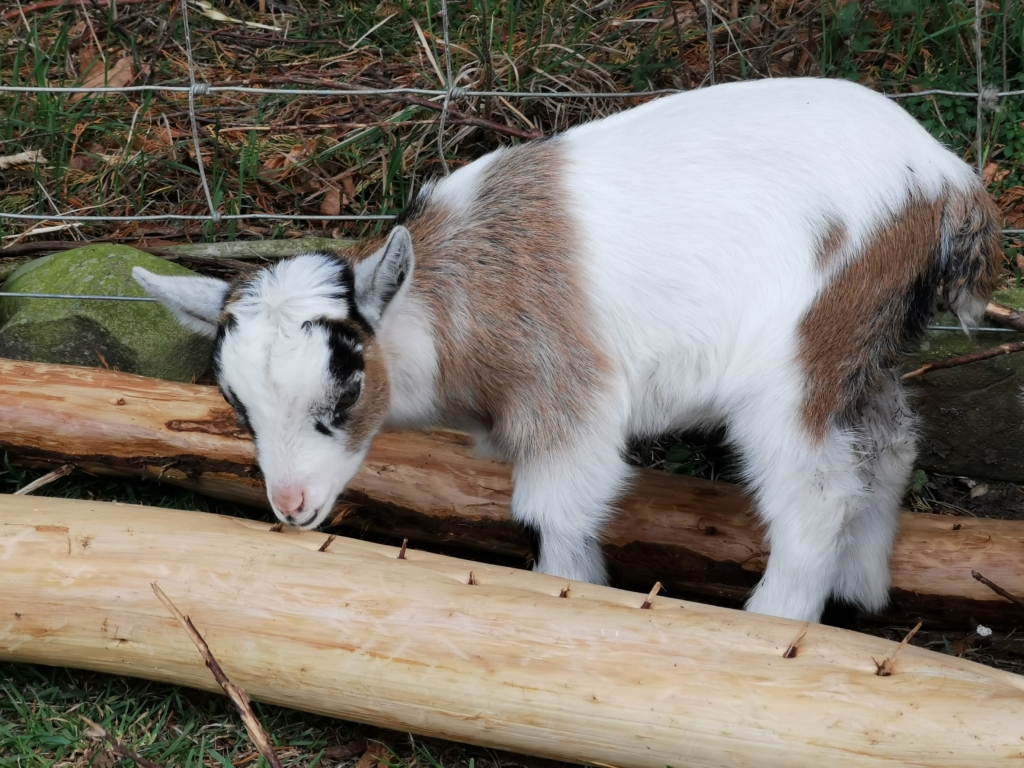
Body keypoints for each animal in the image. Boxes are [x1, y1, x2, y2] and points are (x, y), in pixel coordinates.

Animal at [135, 77, 1001, 622]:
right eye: (237, 405)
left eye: (345, 392)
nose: (291, 505)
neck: (453, 300)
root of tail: (950, 182)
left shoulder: (567, 398)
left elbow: (553, 514)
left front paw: (566, 601)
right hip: (866, 339)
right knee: (890, 442)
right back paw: (862, 592)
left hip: (801, 353)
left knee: (816, 492)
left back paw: (773, 624)